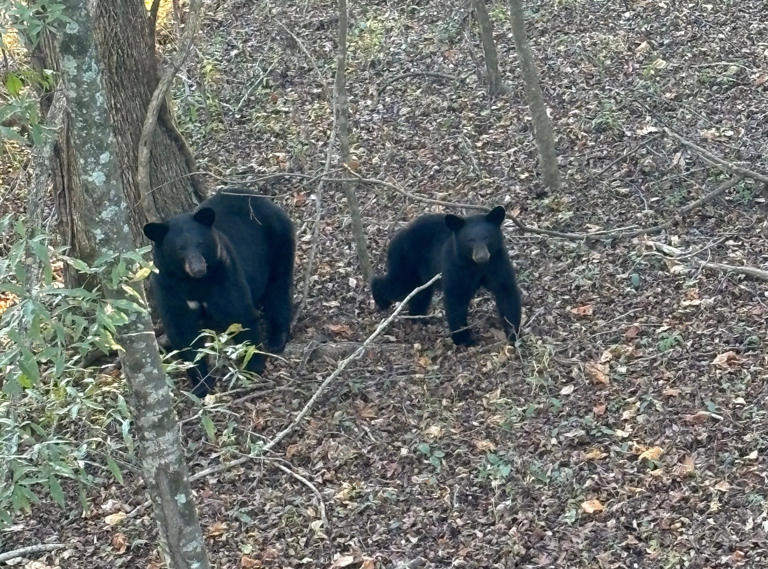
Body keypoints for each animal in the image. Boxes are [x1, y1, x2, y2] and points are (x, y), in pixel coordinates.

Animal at [143, 188, 295, 397]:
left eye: (200, 243)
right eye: (179, 248)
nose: (198, 268)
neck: (193, 283)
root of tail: (262, 199)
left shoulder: (224, 271)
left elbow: (238, 311)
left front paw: (252, 365)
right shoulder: (168, 286)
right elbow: (182, 330)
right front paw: (201, 384)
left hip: (277, 242)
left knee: (278, 288)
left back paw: (276, 338)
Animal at [371, 206, 521, 346]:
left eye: (487, 237)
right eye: (470, 240)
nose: (481, 257)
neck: (476, 266)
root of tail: (395, 238)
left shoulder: (497, 262)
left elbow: (506, 292)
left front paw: (513, 333)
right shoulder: (456, 265)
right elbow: (456, 298)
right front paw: (464, 339)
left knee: (420, 294)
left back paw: (419, 318)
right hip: (407, 261)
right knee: (398, 285)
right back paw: (381, 300)